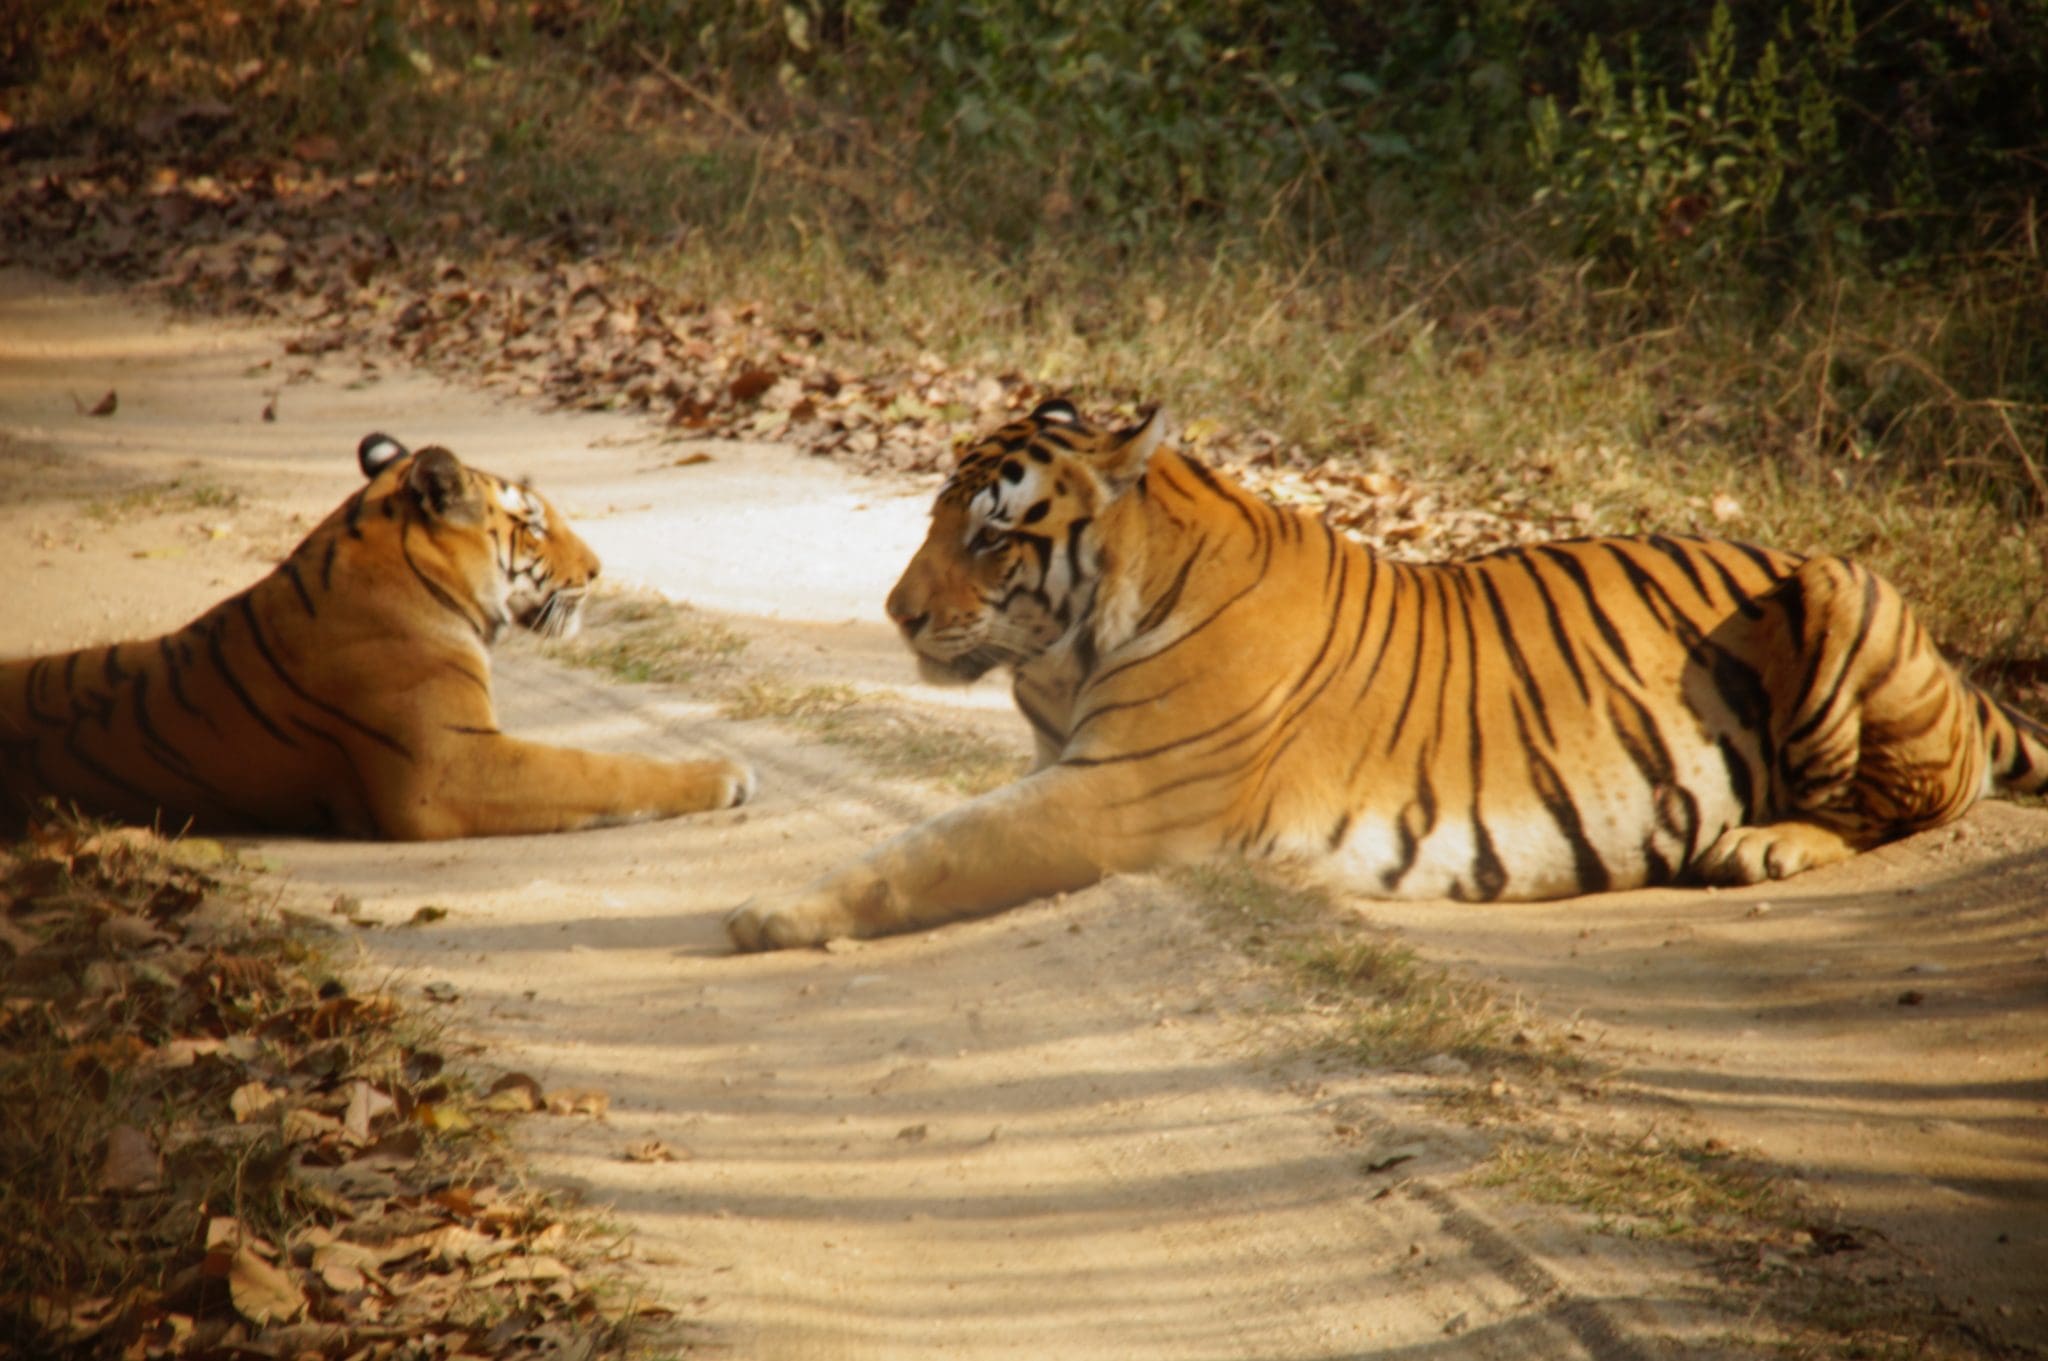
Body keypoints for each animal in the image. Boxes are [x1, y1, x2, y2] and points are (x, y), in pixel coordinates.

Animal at [725, 398, 2048, 949]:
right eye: (933, 516)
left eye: (990, 534)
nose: (896, 613)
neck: (1075, 639)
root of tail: (1959, 670)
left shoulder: (1117, 791)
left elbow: (933, 846)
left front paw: (765, 911)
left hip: (1835, 586)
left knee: (1919, 796)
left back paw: (1764, 844)